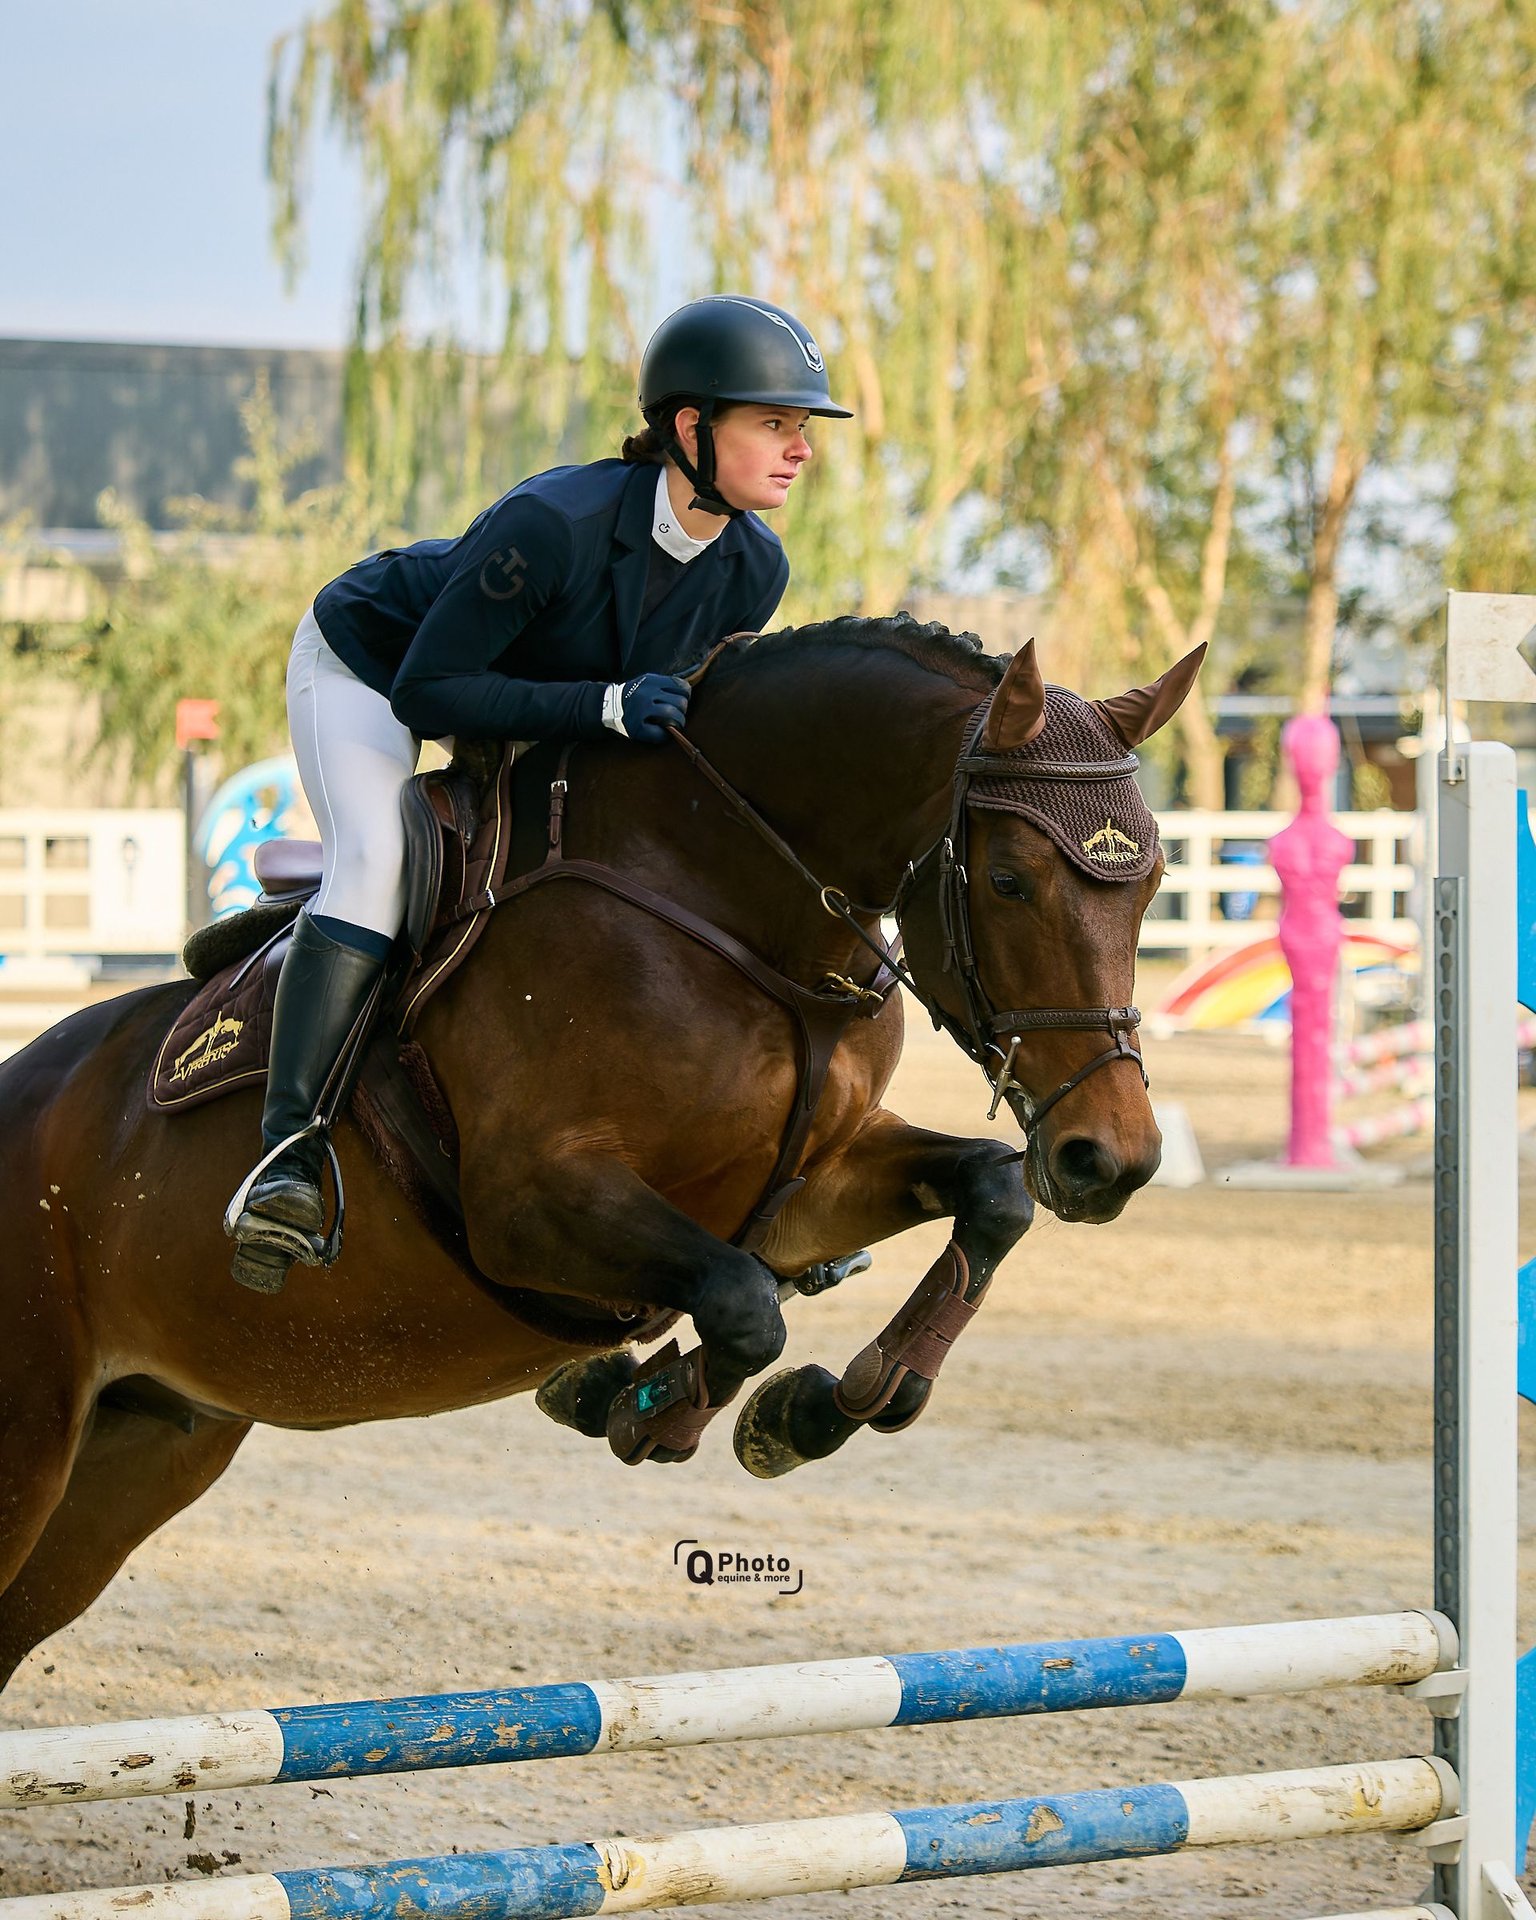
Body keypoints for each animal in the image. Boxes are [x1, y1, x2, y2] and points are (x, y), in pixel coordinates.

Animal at [0, 614, 1201, 1690]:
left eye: (1147, 887)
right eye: (1008, 881)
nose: (1112, 1160)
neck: (732, 905)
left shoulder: (801, 1191)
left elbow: (987, 1196)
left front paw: (826, 1403)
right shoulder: (530, 1205)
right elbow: (744, 1307)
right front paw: (640, 1404)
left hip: (147, 1447)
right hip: (36, 1442)